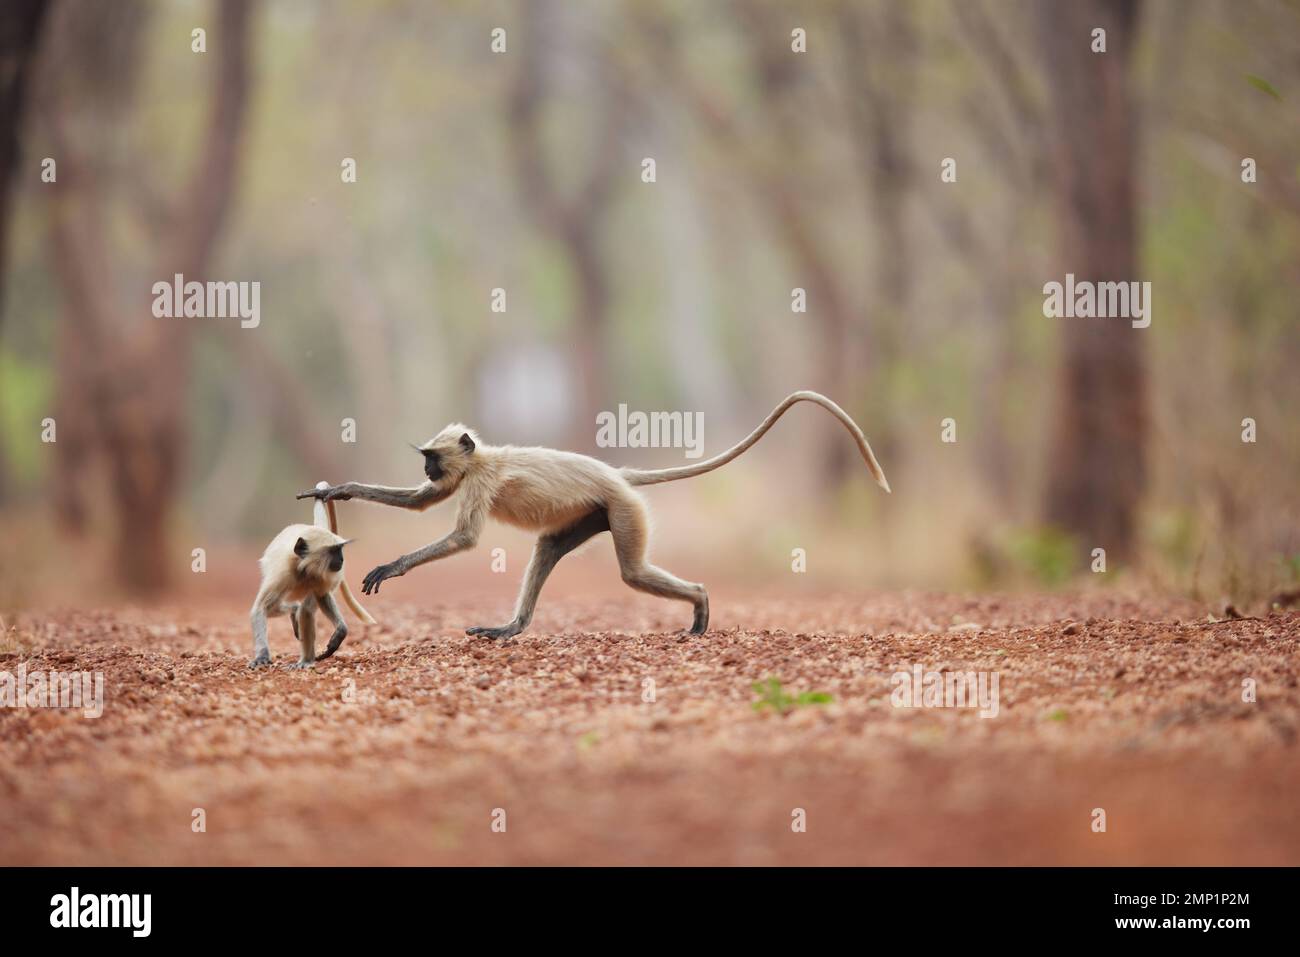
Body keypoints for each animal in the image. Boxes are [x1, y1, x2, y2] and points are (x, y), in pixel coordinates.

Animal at [249, 482, 376, 668]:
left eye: (340, 549)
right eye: (334, 551)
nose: (342, 559)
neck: (303, 568)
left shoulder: (322, 577)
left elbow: (320, 598)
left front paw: (340, 631)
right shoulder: (282, 574)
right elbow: (260, 609)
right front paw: (262, 656)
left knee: (305, 609)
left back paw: (306, 658)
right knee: (276, 607)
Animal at [298, 390, 889, 640]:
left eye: (430, 457)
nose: (425, 465)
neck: (484, 458)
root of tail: (617, 474)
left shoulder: (481, 480)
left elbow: (463, 538)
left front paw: (388, 567)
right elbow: (422, 502)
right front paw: (341, 491)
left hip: (624, 510)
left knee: (631, 572)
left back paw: (699, 602)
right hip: (593, 513)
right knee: (548, 549)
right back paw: (511, 628)